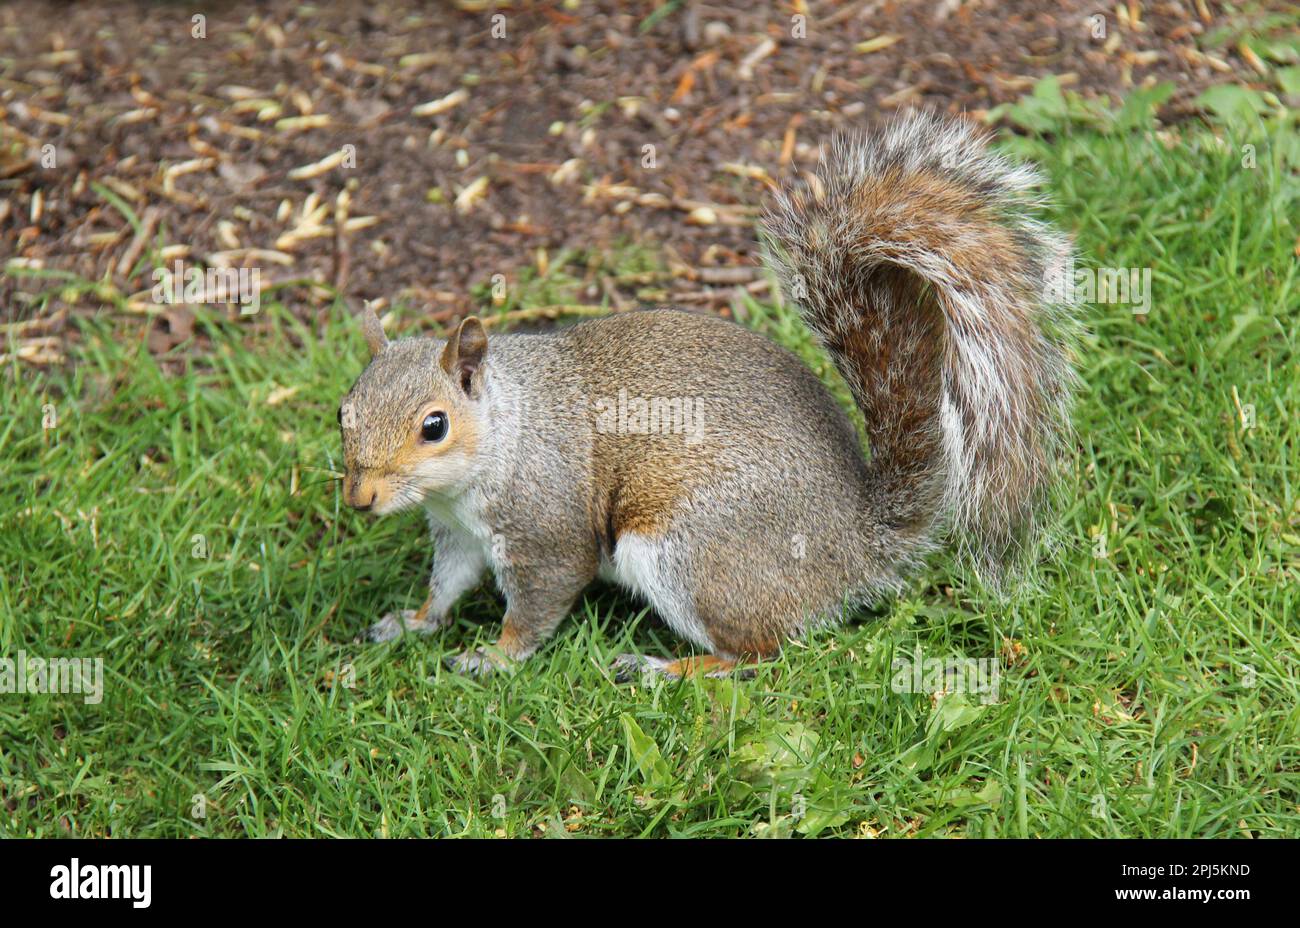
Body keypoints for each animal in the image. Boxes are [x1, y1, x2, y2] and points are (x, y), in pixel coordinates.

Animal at [338, 111, 1078, 678]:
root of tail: (859, 546)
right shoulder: (456, 532)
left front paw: (491, 657)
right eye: (343, 413)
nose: (360, 499)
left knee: (761, 653)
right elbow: (447, 586)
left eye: (434, 426)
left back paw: (665, 668)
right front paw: (411, 622)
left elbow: (538, 605)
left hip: (690, 553)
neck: (501, 432)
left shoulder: (545, 530)